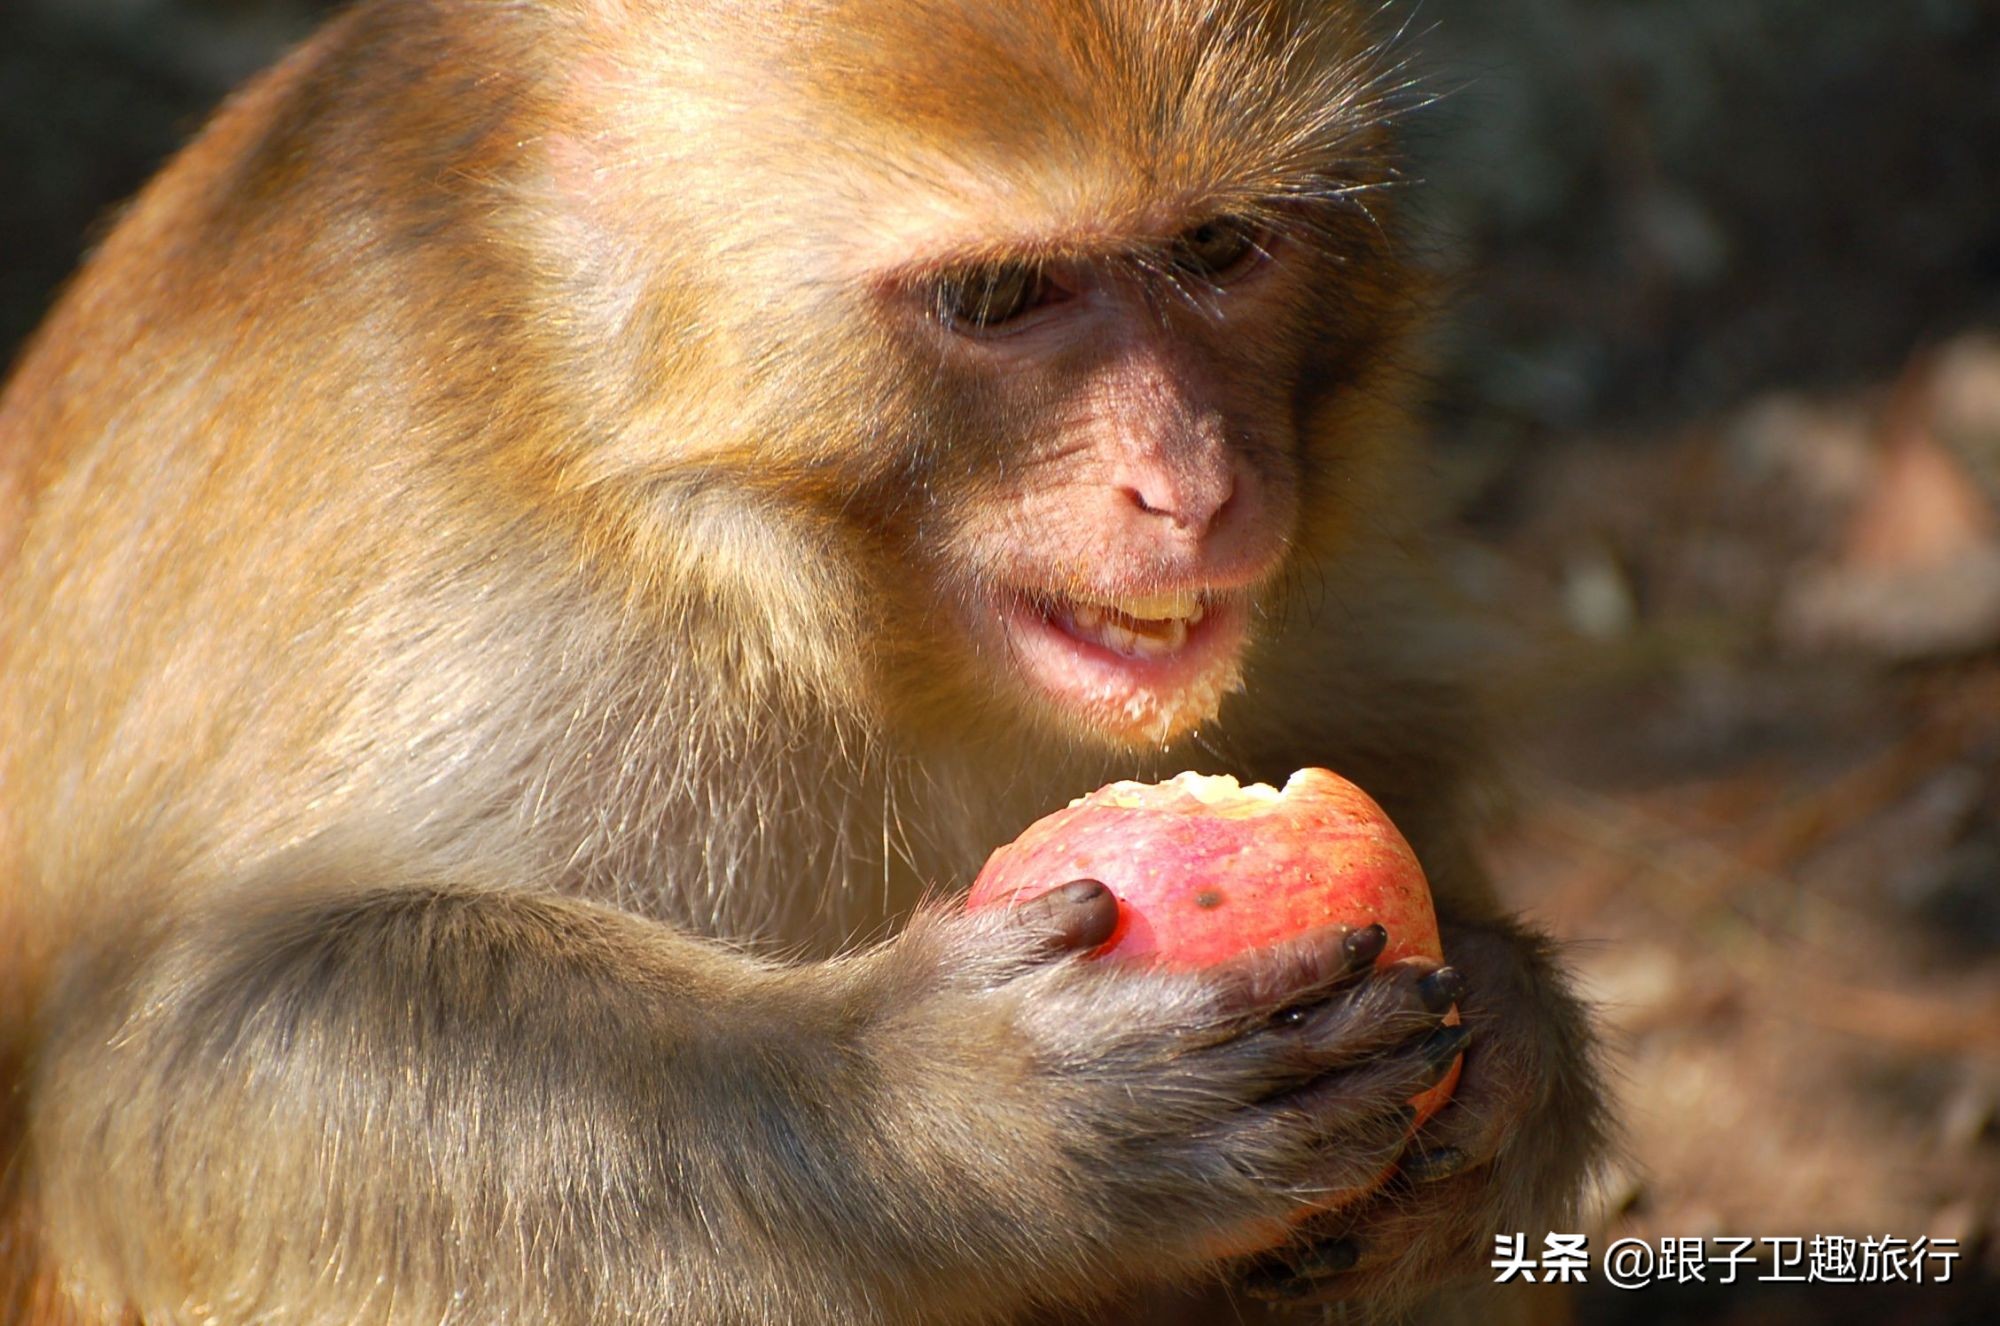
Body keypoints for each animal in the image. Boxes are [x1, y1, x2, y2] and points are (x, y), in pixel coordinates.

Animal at [0, 0, 1604, 1322]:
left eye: (1216, 250)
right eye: (1000, 298)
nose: (1194, 488)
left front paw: (1514, 1039)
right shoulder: (496, 595)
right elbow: (176, 1066)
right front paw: (947, 1104)